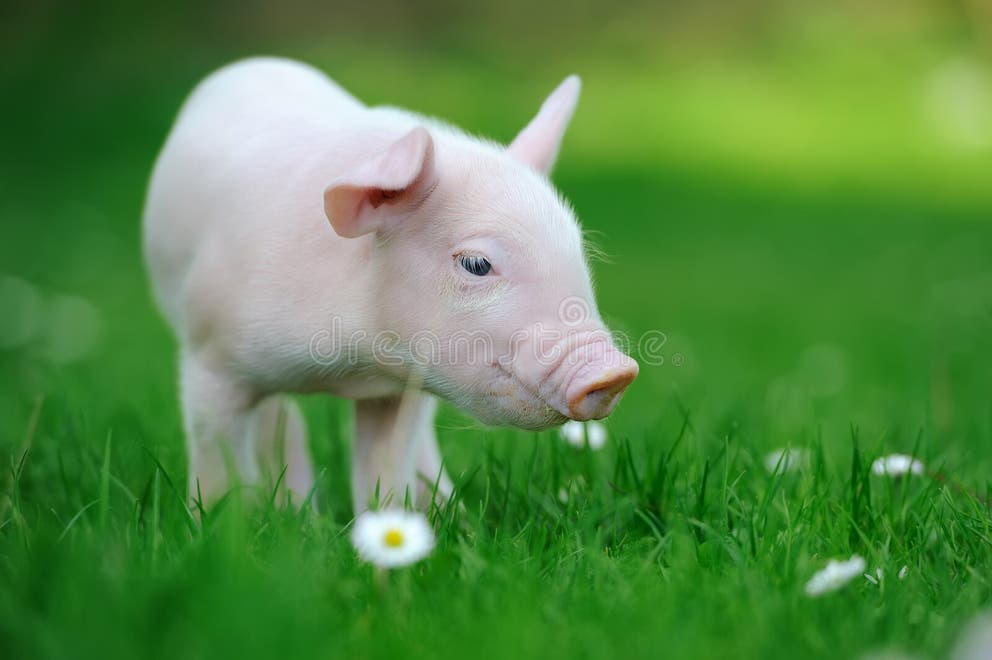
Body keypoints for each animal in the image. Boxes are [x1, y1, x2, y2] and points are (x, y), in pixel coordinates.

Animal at [142, 57, 638, 513]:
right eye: (477, 264)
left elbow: (383, 467)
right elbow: (218, 459)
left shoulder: (400, 389)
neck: (346, 367)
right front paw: (222, 526)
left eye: (576, 253)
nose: (615, 372)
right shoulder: (208, 354)